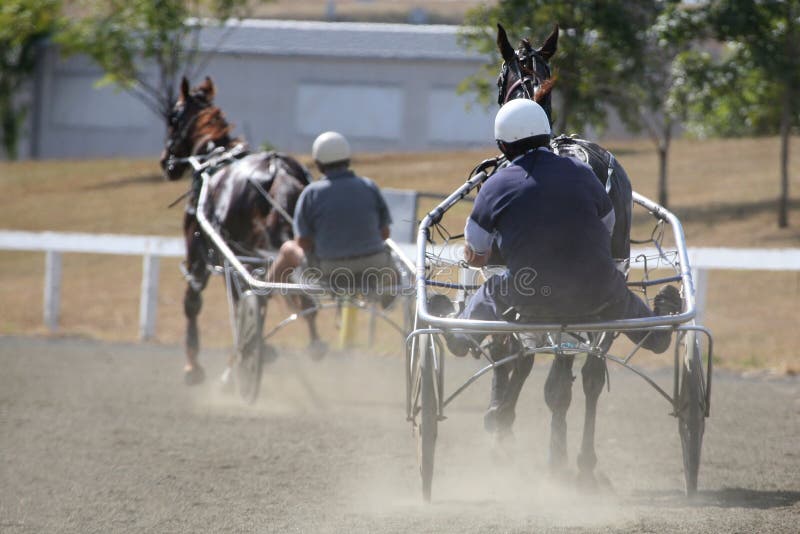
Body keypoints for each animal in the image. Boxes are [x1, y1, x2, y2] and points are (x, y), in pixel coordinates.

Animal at [160, 76, 326, 386]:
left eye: (173, 118)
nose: (166, 163)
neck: (214, 160)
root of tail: (278, 169)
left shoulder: (204, 252)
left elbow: (194, 302)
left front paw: (194, 366)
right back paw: (313, 341)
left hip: (239, 251)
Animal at [487, 23, 635, 488]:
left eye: (498, 77)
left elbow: (512, 354)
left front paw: (499, 418)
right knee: (588, 375)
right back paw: (583, 460)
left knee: (557, 375)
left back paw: (553, 455)